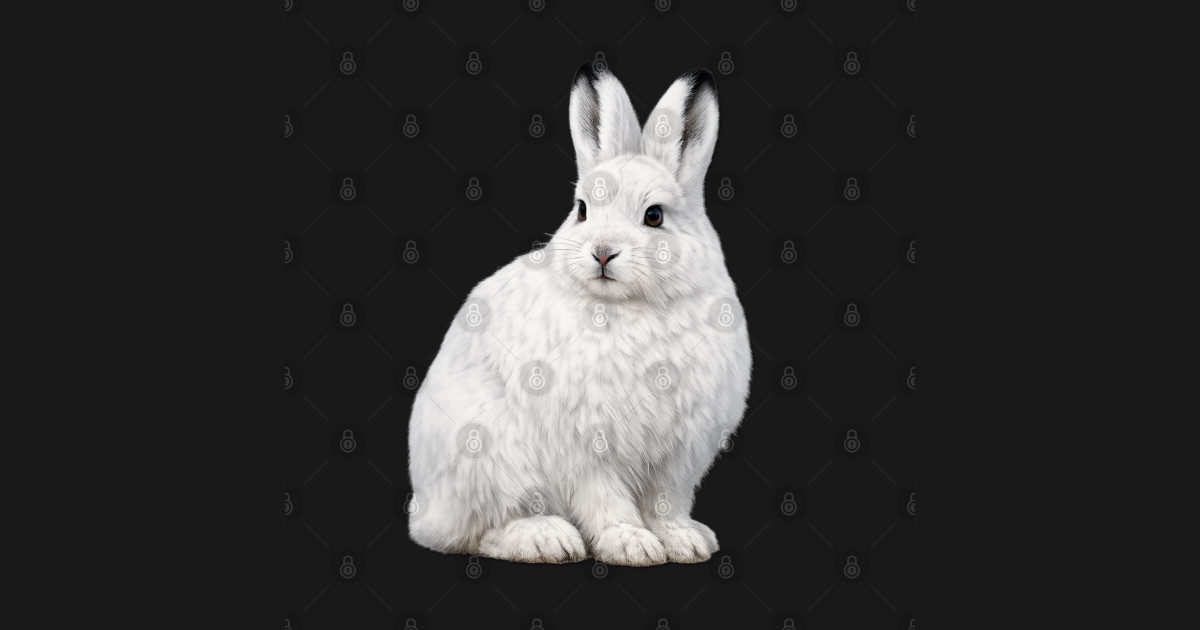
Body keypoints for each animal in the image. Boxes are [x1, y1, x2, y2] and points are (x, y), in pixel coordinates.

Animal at [406, 64, 751, 566]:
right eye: (583, 210)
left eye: (654, 216)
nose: (602, 253)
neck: (628, 306)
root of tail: (421, 507)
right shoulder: (587, 451)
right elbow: (605, 500)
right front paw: (631, 545)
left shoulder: (677, 458)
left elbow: (666, 502)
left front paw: (685, 542)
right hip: (488, 456)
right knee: (476, 532)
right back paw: (547, 539)